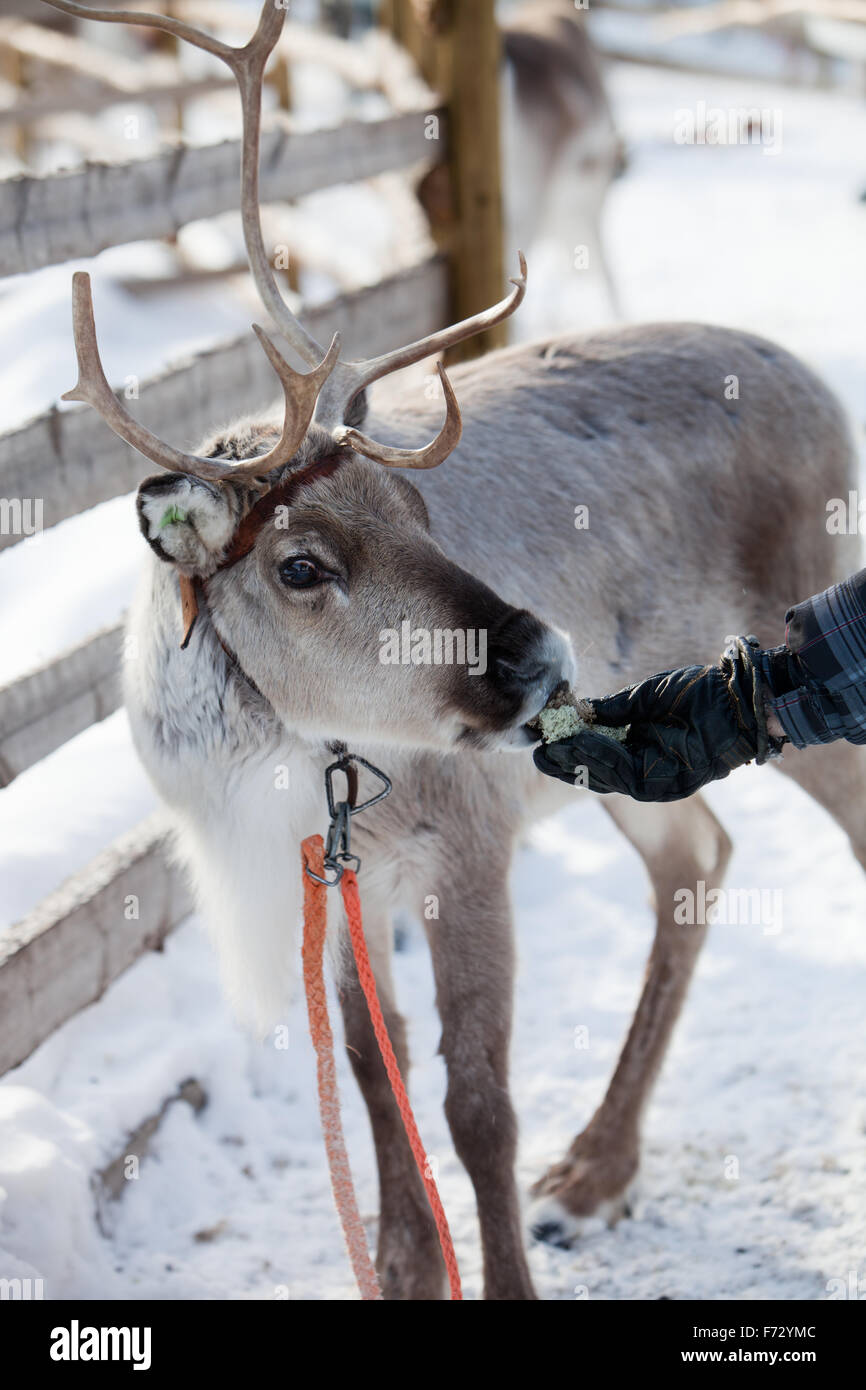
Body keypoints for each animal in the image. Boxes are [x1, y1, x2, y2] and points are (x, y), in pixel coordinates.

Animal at [44, 1, 866, 1300]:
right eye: (300, 564)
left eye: (416, 507)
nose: (537, 651)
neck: (283, 765)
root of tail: (820, 387)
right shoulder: (338, 877)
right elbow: (374, 1077)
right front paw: (401, 1265)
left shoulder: (467, 847)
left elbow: (476, 1105)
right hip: (618, 757)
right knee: (696, 850)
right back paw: (596, 1170)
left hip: (784, 662)